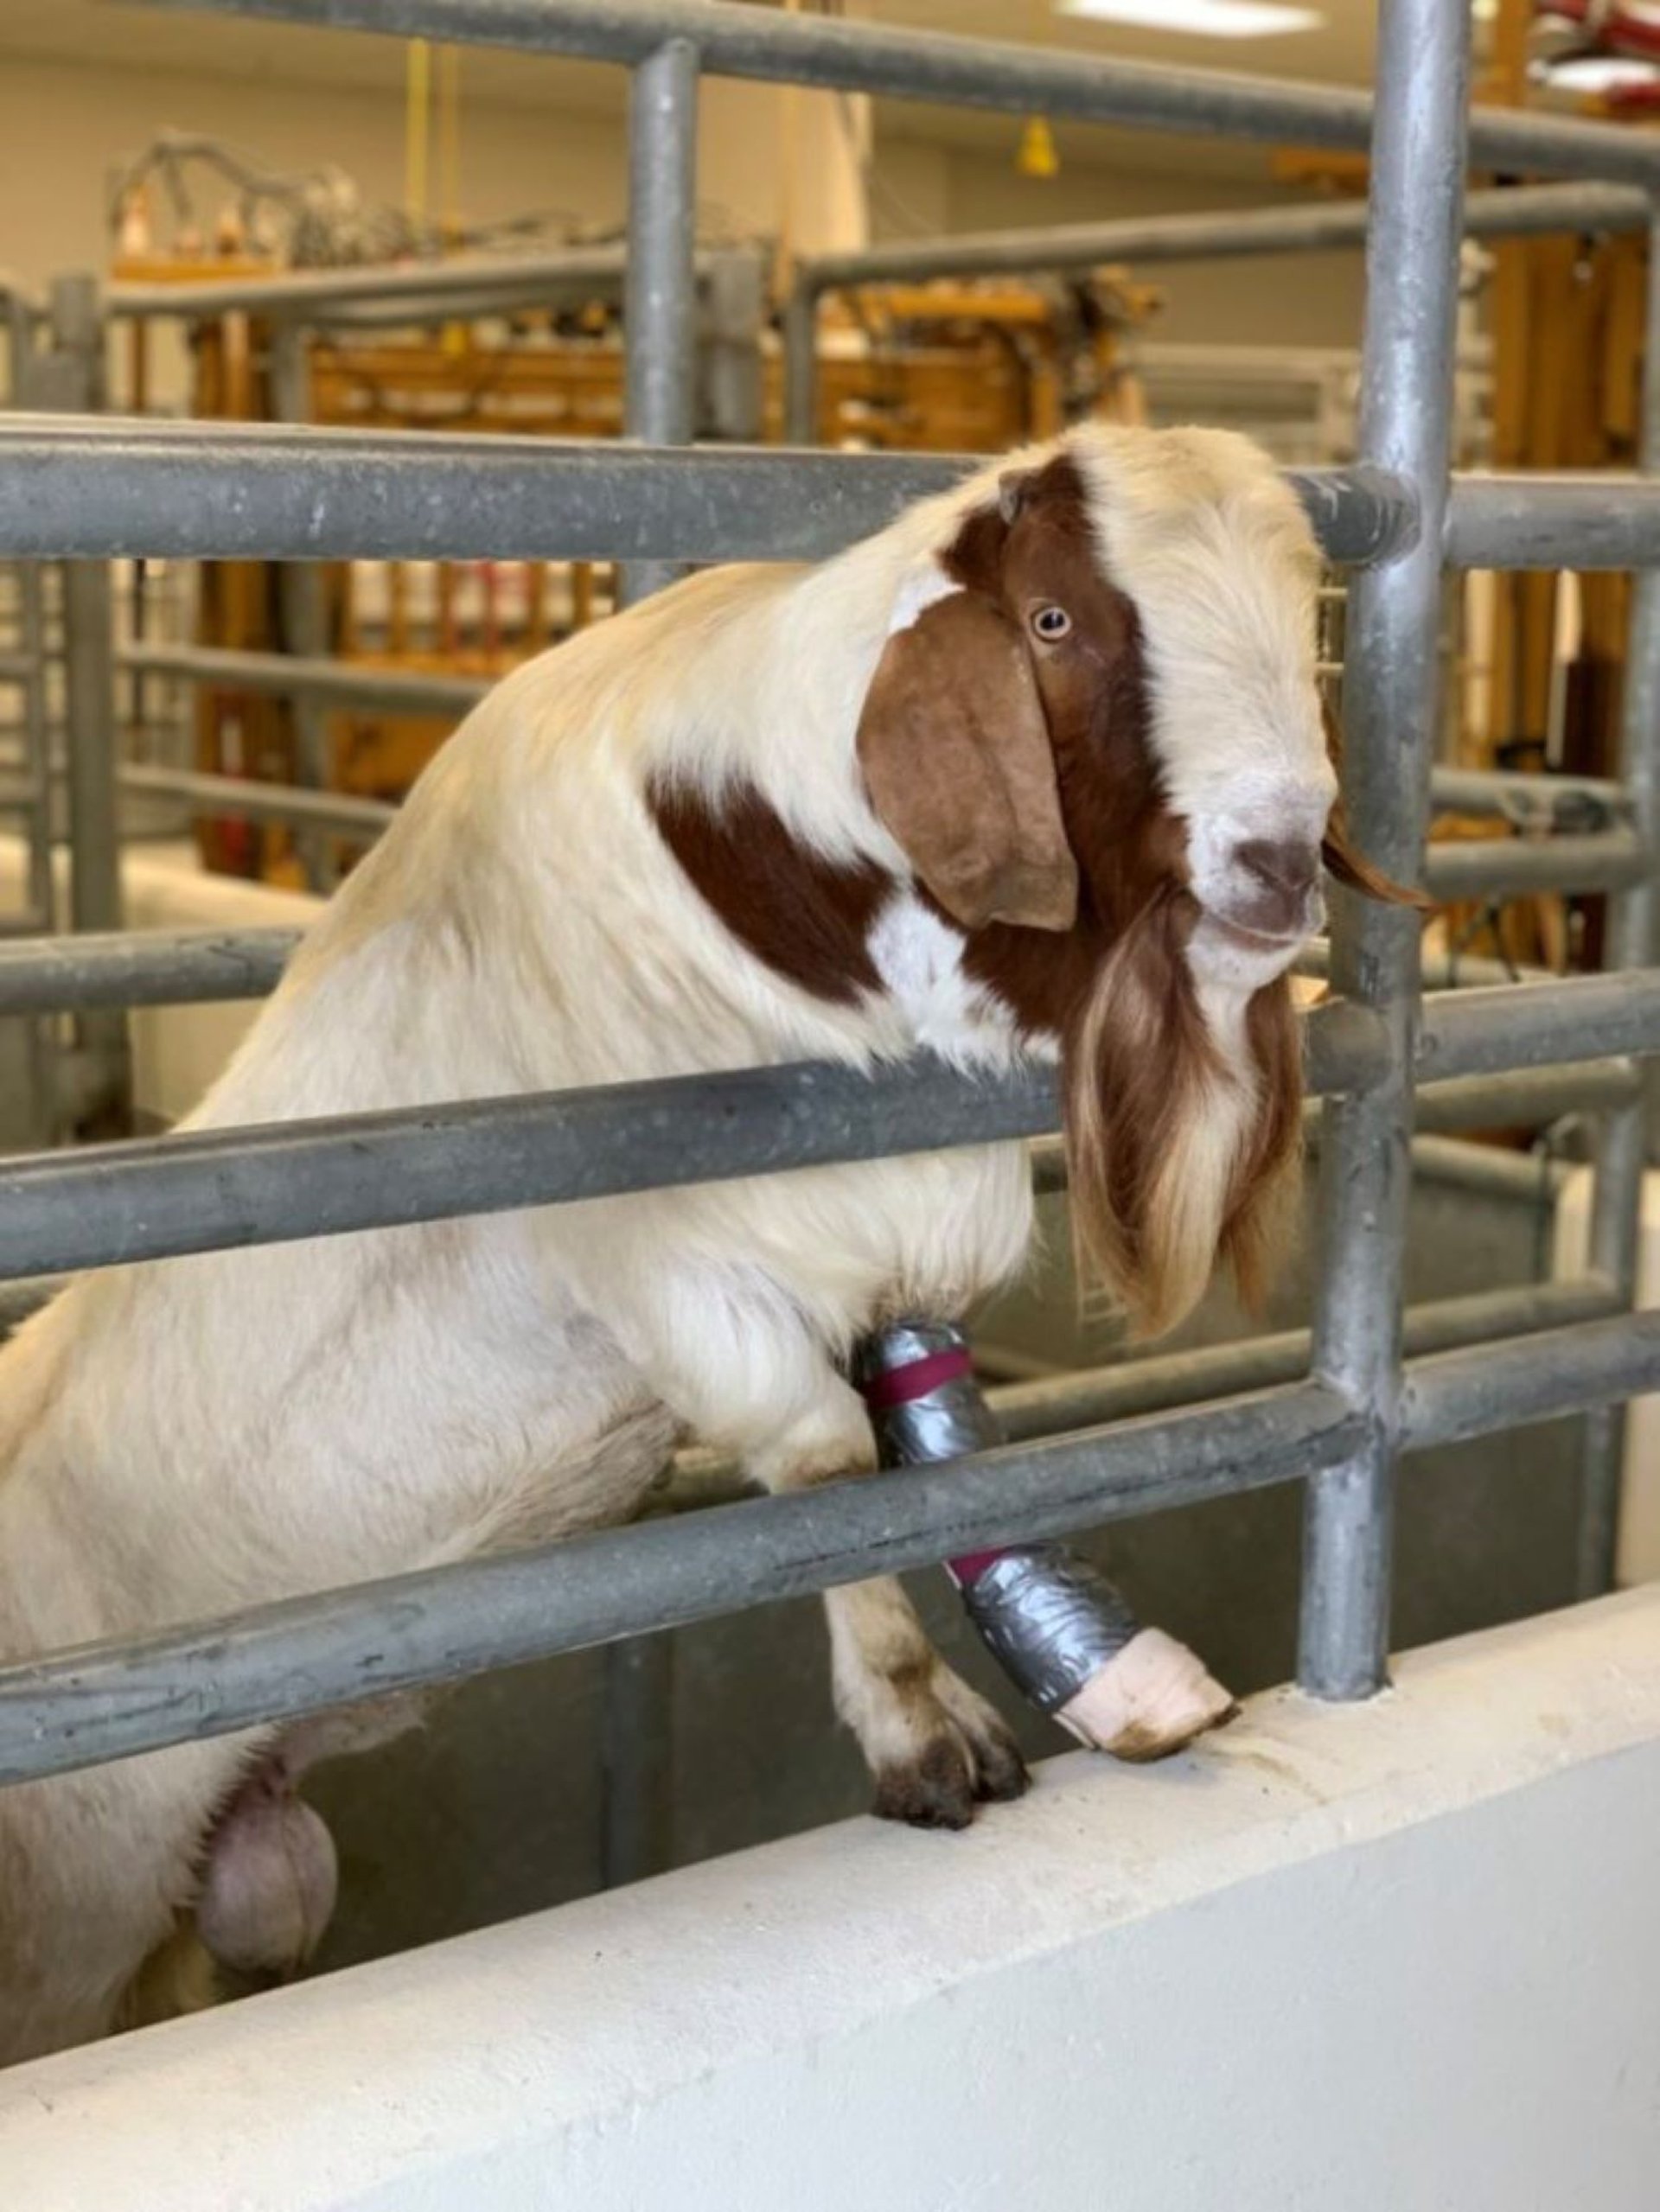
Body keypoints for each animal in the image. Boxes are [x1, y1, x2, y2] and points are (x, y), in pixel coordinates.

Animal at [0, 423, 1395, 2062]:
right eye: (1057, 618)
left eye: (1307, 609)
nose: (1280, 865)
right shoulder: (666, 1259)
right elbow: (827, 1464)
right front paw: (926, 1739)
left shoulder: (893, 1225)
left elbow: (935, 1450)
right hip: (74, 1897)